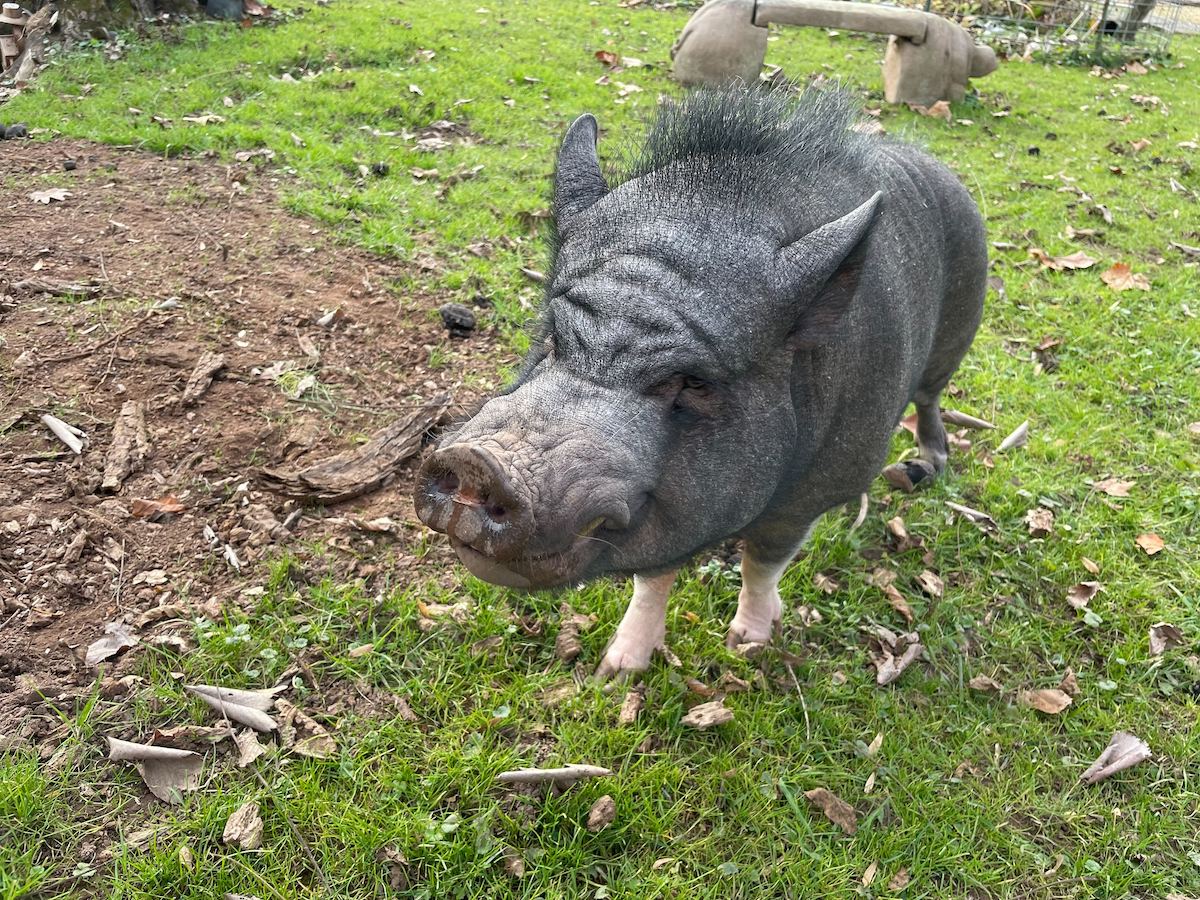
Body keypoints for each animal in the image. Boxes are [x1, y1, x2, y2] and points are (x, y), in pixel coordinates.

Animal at [414, 86, 986, 679]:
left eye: (691, 381)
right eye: (550, 337)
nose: (476, 461)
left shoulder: (809, 495)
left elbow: (764, 563)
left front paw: (748, 645)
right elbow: (653, 578)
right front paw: (616, 672)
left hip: (959, 329)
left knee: (931, 399)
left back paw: (918, 471)